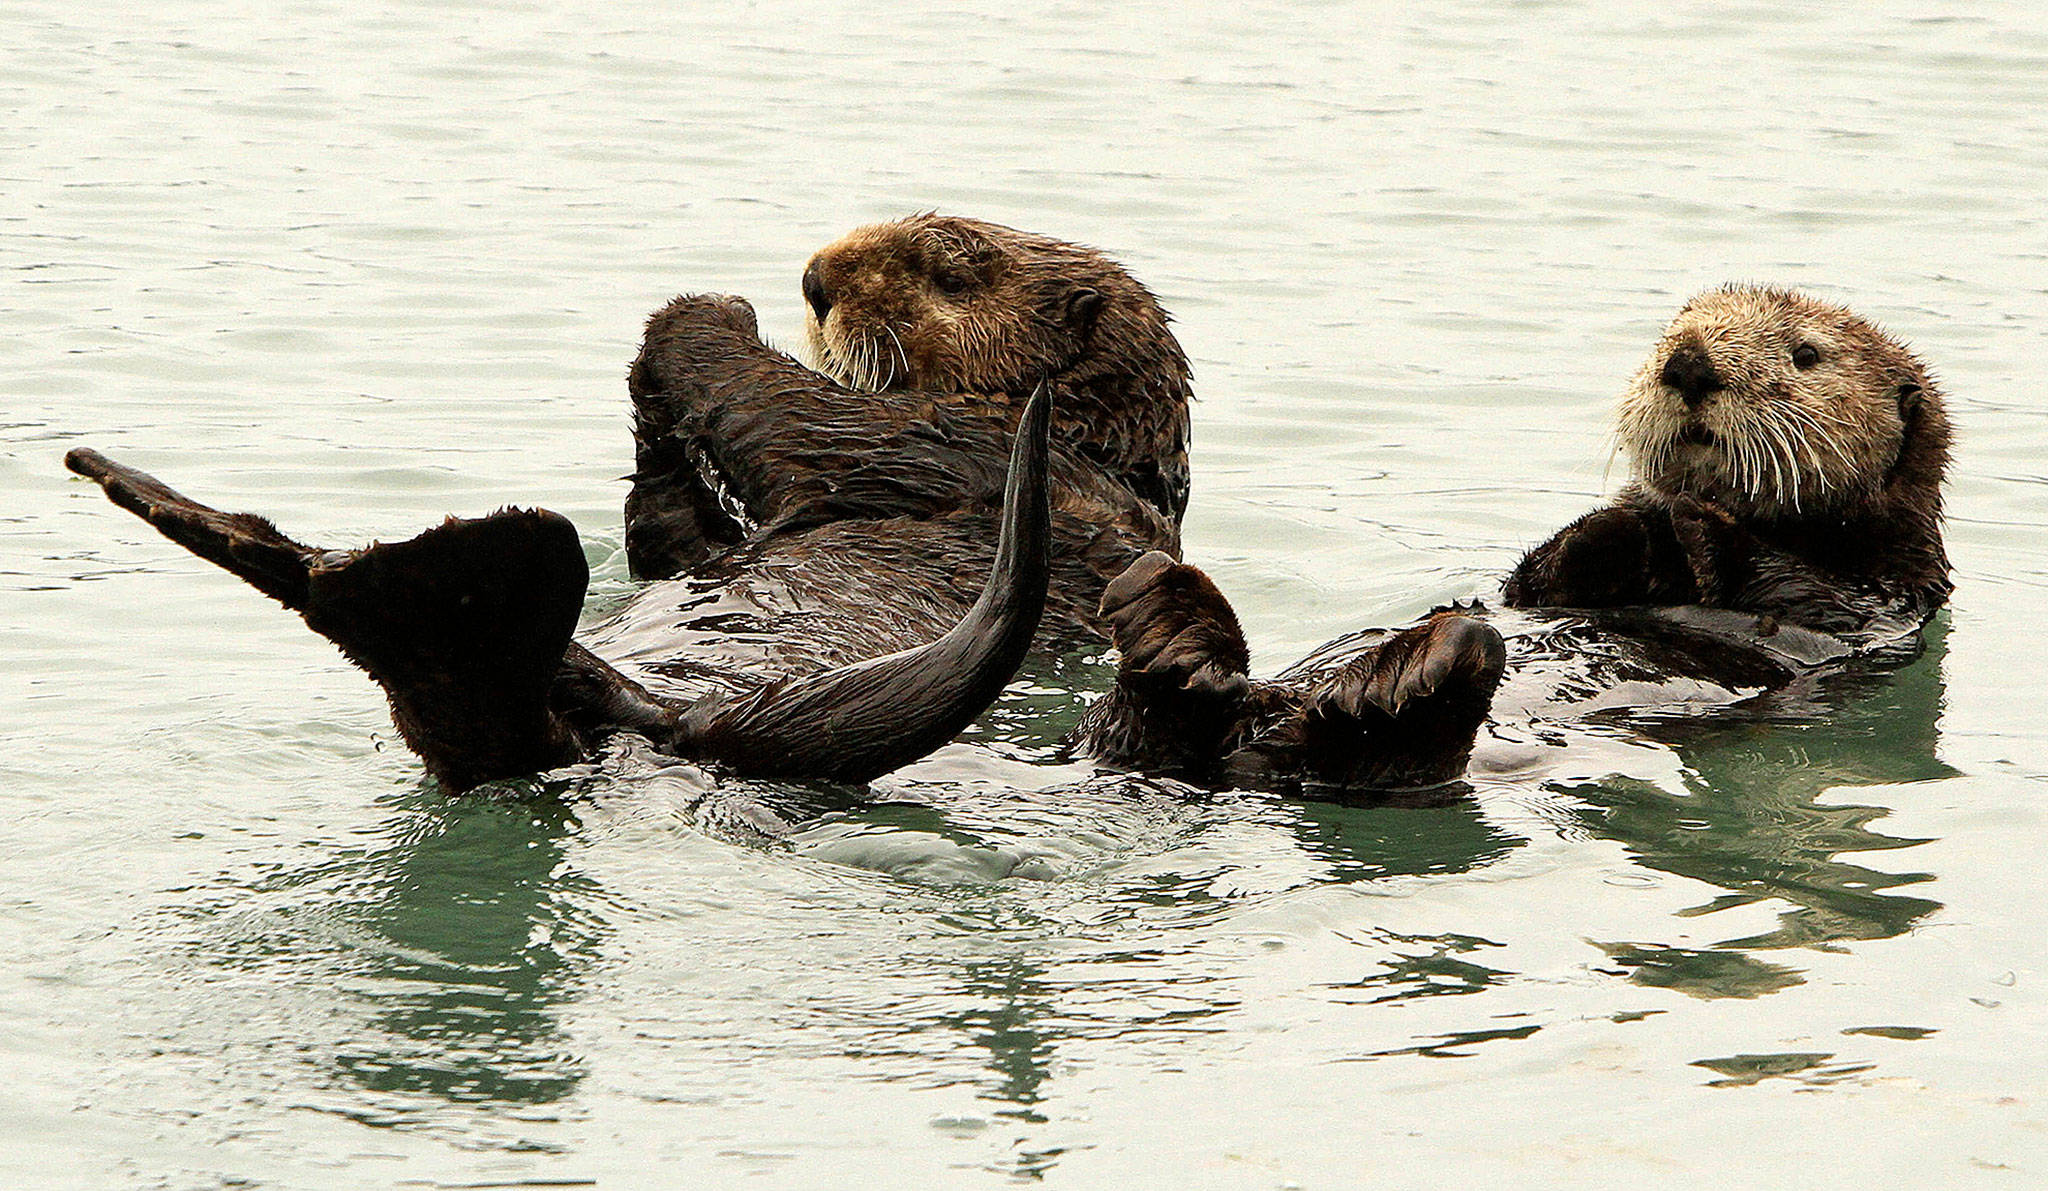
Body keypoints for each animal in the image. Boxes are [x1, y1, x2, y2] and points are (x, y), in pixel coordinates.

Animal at [1075, 286, 1949, 789]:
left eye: (1806, 354)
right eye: (1675, 330)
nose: (1689, 362)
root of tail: (1250, 751)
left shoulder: (1882, 601)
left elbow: (1797, 590)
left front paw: (1691, 521)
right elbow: (1535, 579)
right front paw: (1618, 525)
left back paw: (1406, 676)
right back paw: (1168, 617)